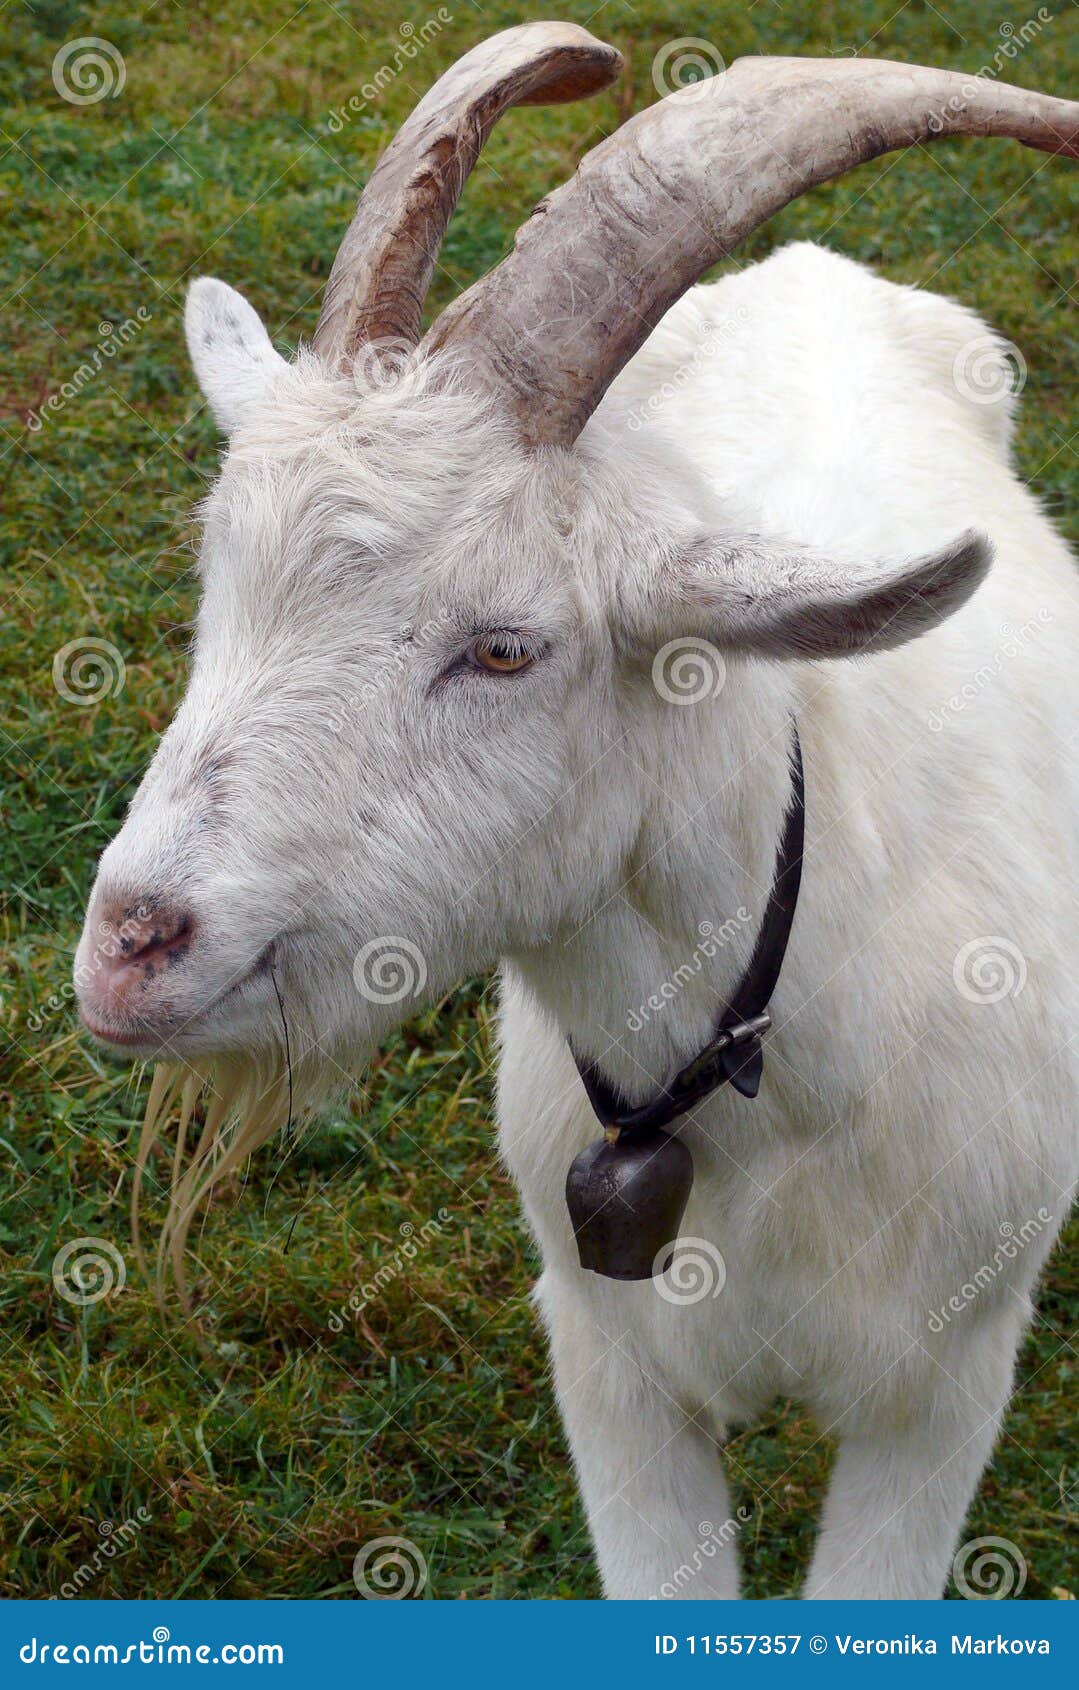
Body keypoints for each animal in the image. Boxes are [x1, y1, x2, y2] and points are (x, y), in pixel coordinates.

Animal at [74, 25, 1079, 1599]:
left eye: (503, 648)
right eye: (215, 566)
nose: (132, 945)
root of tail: (814, 273)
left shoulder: (940, 1390)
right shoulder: (608, 1369)